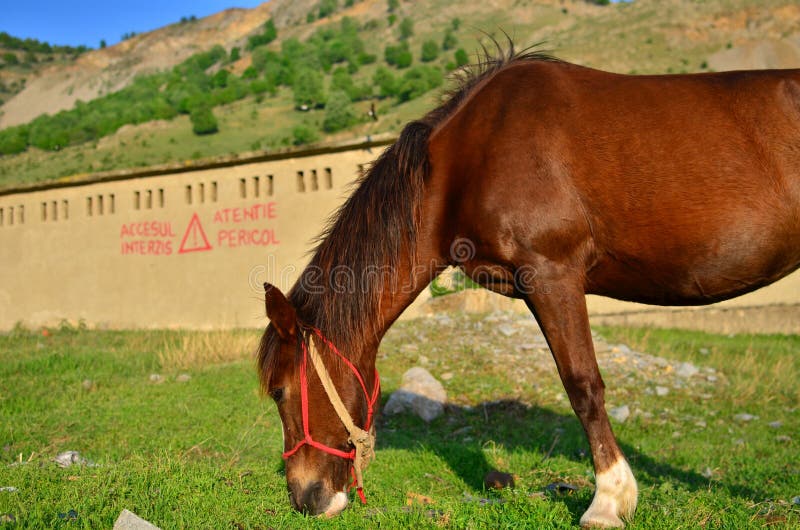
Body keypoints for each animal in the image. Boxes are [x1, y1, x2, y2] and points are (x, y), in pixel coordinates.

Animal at [257, 45, 800, 527]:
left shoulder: (552, 275)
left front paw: (608, 501)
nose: (304, 498)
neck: (466, 160)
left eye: (280, 391)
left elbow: (583, 385)